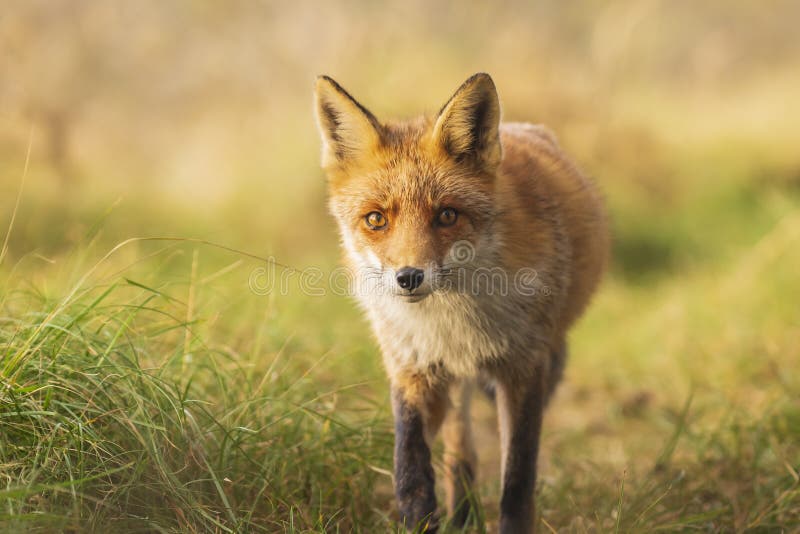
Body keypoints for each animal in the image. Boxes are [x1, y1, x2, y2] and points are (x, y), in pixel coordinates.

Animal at [314, 73, 608, 533]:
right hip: (452, 378)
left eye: (447, 215)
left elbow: (517, 478)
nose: (409, 277)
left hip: (544, 362)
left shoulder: (524, 367)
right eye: (376, 219)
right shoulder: (412, 367)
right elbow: (410, 471)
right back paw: (463, 513)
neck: (451, 320)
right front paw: (419, 521)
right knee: (459, 449)